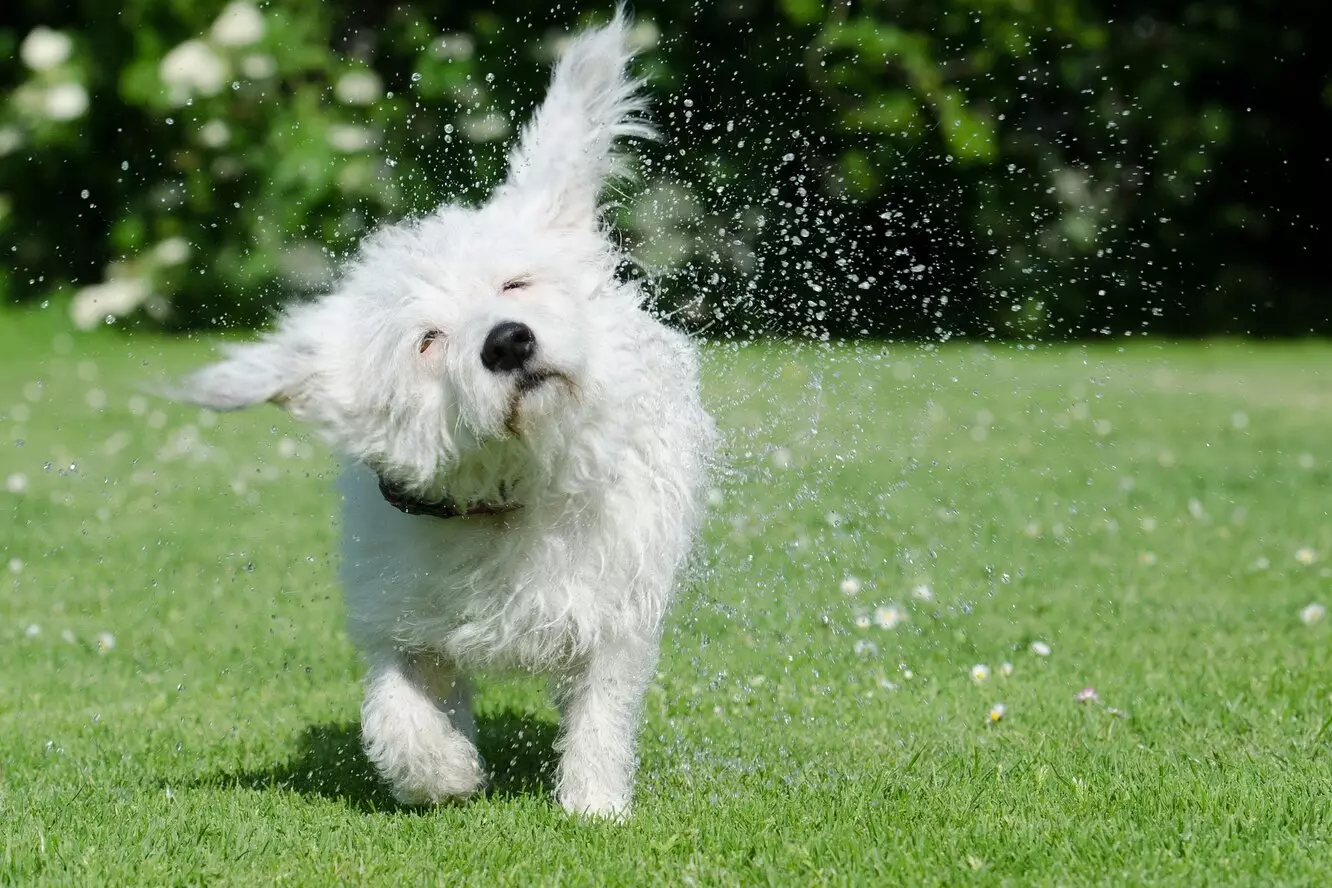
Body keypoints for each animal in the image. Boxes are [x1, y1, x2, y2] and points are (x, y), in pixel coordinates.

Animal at [179, 13, 719, 820]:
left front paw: (592, 805)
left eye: (515, 284)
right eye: (428, 342)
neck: (504, 495)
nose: (507, 341)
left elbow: (601, 706)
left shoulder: (611, 608)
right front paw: (446, 773)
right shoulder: (400, 616)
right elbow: (395, 710)